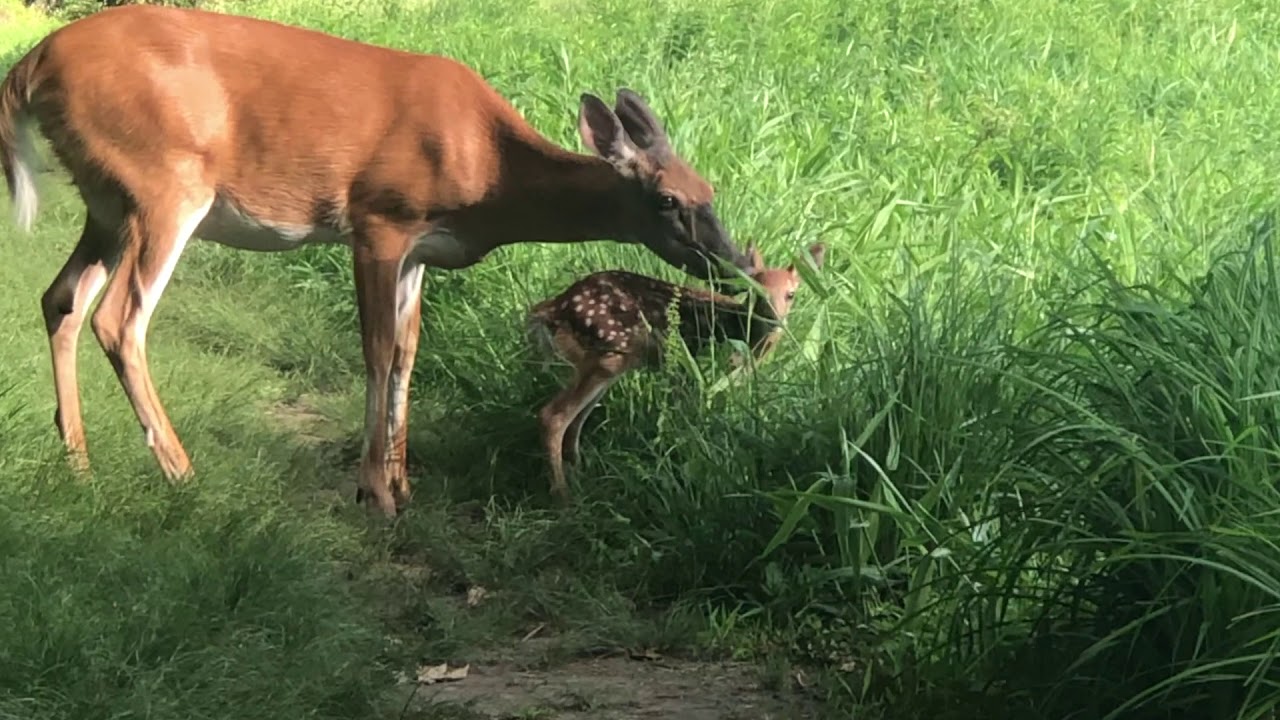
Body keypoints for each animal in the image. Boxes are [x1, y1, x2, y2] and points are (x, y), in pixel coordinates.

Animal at [0, 5, 759, 518]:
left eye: (709, 191)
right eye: (667, 200)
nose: (732, 264)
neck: (490, 172)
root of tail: (30, 65)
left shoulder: (420, 251)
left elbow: (407, 355)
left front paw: (401, 484)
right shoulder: (378, 222)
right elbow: (377, 348)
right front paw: (376, 492)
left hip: (107, 203)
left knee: (63, 298)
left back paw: (78, 463)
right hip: (163, 184)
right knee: (120, 319)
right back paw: (180, 471)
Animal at [527, 242, 826, 503]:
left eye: (791, 294)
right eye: (753, 292)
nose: (773, 319)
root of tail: (553, 307)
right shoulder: (702, 369)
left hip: (608, 361)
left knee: (576, 417)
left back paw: (578, 474)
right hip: (610, 352)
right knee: (553, 416)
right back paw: (564, 497)